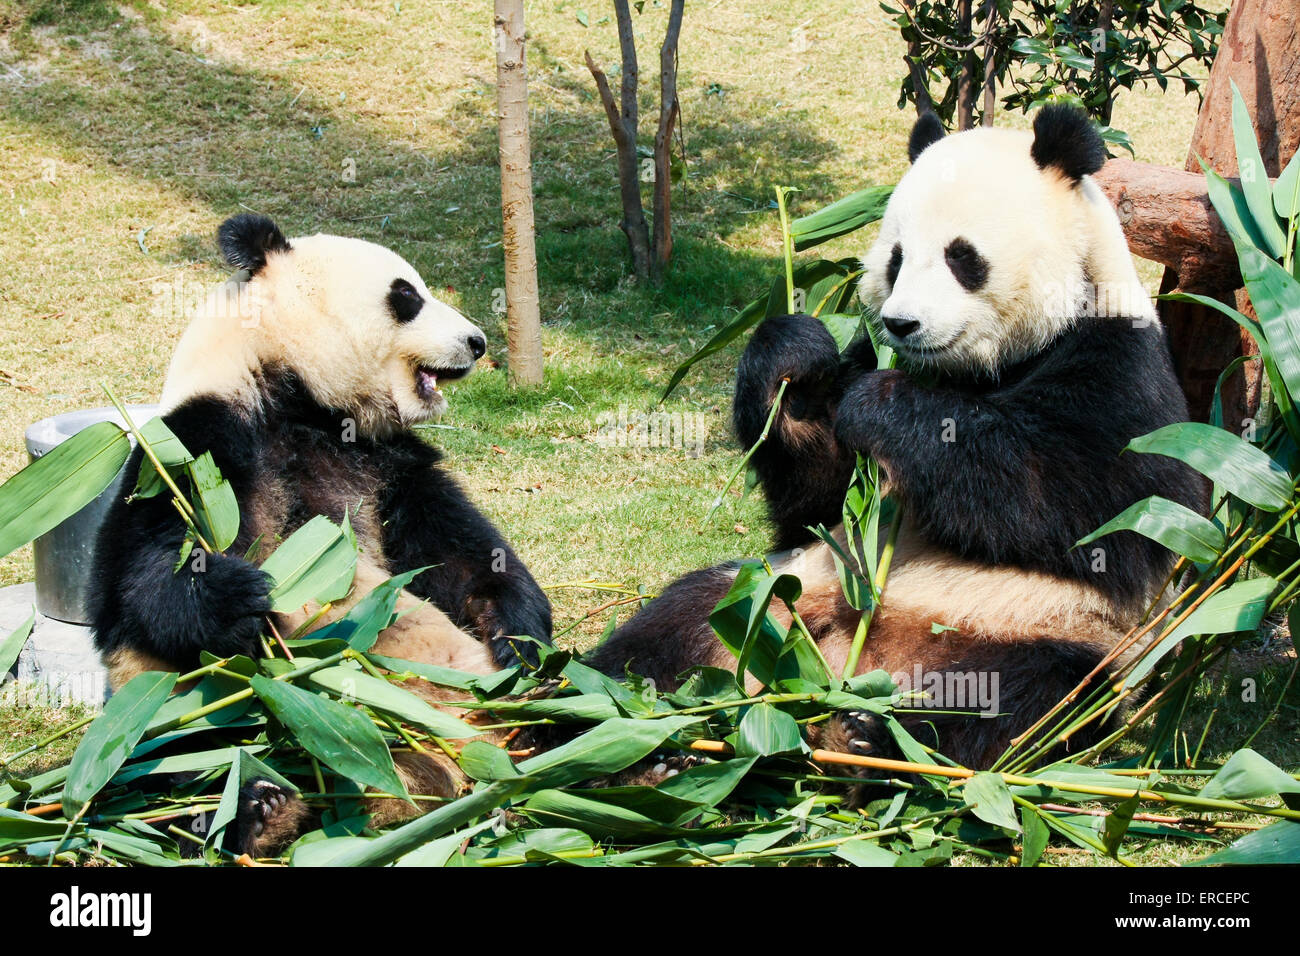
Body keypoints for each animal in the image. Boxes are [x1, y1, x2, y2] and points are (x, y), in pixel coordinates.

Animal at [88, 214, 552, 853]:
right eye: (407, 295)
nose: (478, 342)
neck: (297, 397)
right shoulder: (199, 443)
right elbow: (139, 578)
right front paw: (239, 598)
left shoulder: (387, 464)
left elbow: (458, 550)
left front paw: (518, 633)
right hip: (172, 712)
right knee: (186, 756)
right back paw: (264, 809)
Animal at [590, 106, 1206, 769]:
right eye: (897, 258)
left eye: (963, 257)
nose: (903, 324)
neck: (979, 369)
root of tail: (842, 671)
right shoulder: (863, 361)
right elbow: (815, 499)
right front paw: (794, 358)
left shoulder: (1122, 371)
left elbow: (1085, 504)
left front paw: (884, 406)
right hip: (777, 594)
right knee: (682, 622)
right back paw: (605, 726)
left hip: (1054, 634)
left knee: (1017, 701)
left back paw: (872, 741)